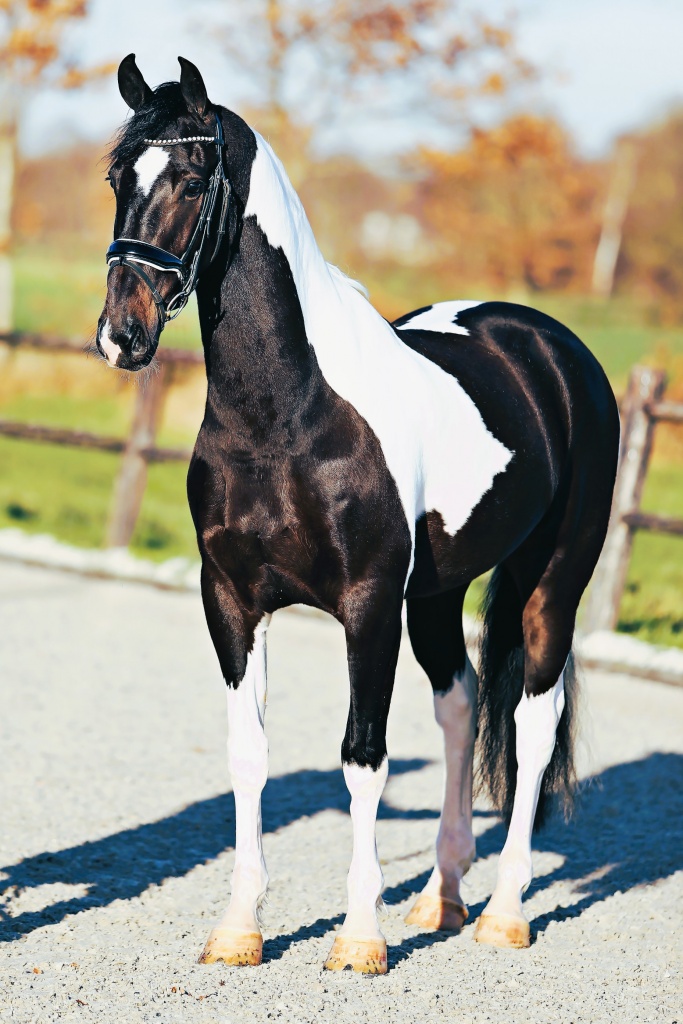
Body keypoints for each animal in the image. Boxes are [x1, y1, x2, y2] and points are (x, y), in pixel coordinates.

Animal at [96, 54, 620, 974]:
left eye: (192, 180)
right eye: (117, 178)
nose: (122, 334)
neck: (290, 415)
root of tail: (552, 349)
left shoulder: (368, 604)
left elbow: (362, 758)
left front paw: (358, 937)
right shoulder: (230, 601)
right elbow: (249, 754)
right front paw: (239, 928)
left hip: (550, 581)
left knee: (532, 719)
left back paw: (504, 912)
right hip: (438, 596)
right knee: (460, 704)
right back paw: (441, 896)